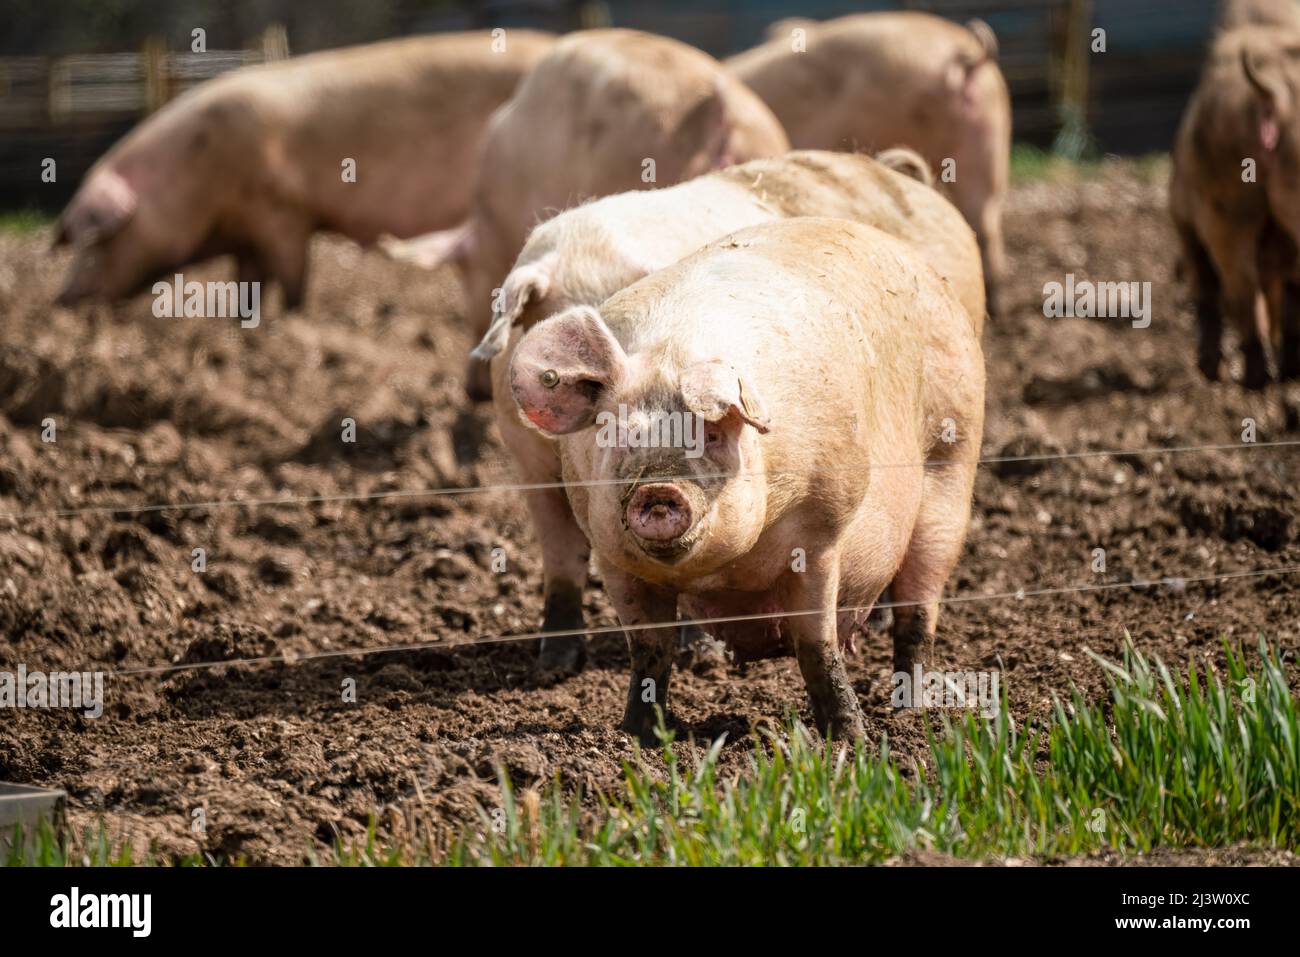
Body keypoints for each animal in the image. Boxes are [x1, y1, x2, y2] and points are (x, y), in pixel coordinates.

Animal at [53, 30, 555, 308]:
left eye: (97, 242)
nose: (61, 299)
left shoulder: (282, 211)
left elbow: (293, 280)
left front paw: (291, 322)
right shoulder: (247, 232)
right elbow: (246, 286)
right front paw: (244, 328)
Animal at [1170, 24, 1300, 386]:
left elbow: (1293, 295)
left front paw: (1290, 373)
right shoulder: (1224, 221)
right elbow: (1241, 288)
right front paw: (1256, 378)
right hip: (1183, 223)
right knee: (1208, 287)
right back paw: (1212, 369)